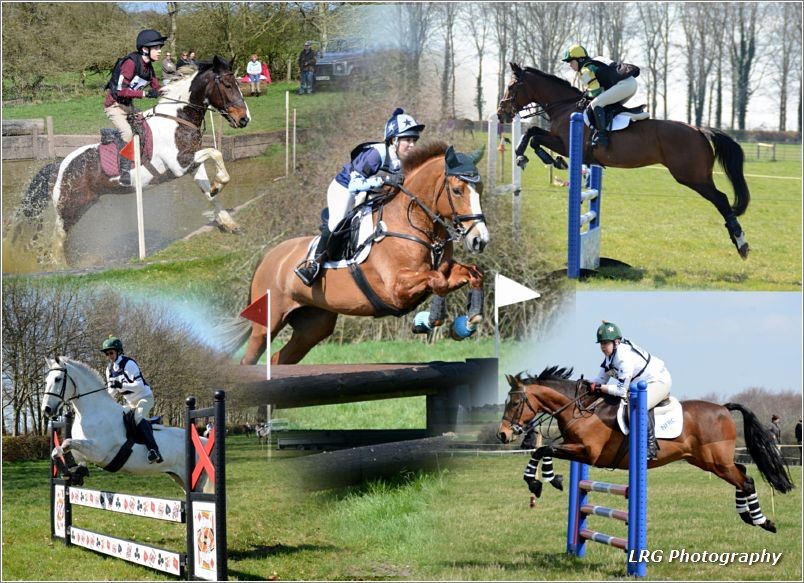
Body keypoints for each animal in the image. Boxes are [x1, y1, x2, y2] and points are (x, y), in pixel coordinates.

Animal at [10, 56, 250, 266]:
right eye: (228, 85)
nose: (244, 119)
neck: (177, 119)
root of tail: (59, 166)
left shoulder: (192, 165)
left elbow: (209, 193)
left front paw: (229, 221)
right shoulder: (179, 164)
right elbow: (216, 153)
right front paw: (219, 184)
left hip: (81, 205)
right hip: (69, 207)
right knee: (58, 239)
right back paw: (61, 268)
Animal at [41, 356, 210, 494]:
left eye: (57, 379)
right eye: (46, 381)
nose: (46, 409)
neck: (92, 411)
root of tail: (203, 441)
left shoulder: (99, 452)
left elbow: (67, 443)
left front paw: (70, 473)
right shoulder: (82, 452)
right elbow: (59, 450)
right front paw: (73, 474)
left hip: (194, 480)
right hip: (178, 477)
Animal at [228, 142, 489, 365]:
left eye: (480, 189)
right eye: (457, 190)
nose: (480, 240)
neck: (416, 224)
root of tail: (268, 257)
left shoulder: (443, 270)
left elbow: (472, 274)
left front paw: (469, 322)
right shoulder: (396, 289)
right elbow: (438, 281)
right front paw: (427, 321)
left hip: (313, 326)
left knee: (278, 359)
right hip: (268, 322)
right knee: (250, 359)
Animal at [497, 63, 751, 259]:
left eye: (511, 86)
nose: (501, 113)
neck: (565, 105)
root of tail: (699, 130)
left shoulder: (566, 144)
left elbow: (532, 135)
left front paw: (523, 156)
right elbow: (534, 134)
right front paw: (549, 160)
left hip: (691, 176)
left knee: (722, 199)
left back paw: (741, 243)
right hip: (697, 176)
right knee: (721, 199)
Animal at [498, 367, 794, 533]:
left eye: (515, 403)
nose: (503, 435)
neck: (580, 409)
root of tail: (723, 408)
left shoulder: (586, 452)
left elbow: (543, 450)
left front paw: (543, 482)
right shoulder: (576, 449)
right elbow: (544, 450)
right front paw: (545, 481)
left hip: (716, 462)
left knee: (746, 479)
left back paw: (763, 522)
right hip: (707, 461)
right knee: (743, 473)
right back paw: (747, 516)